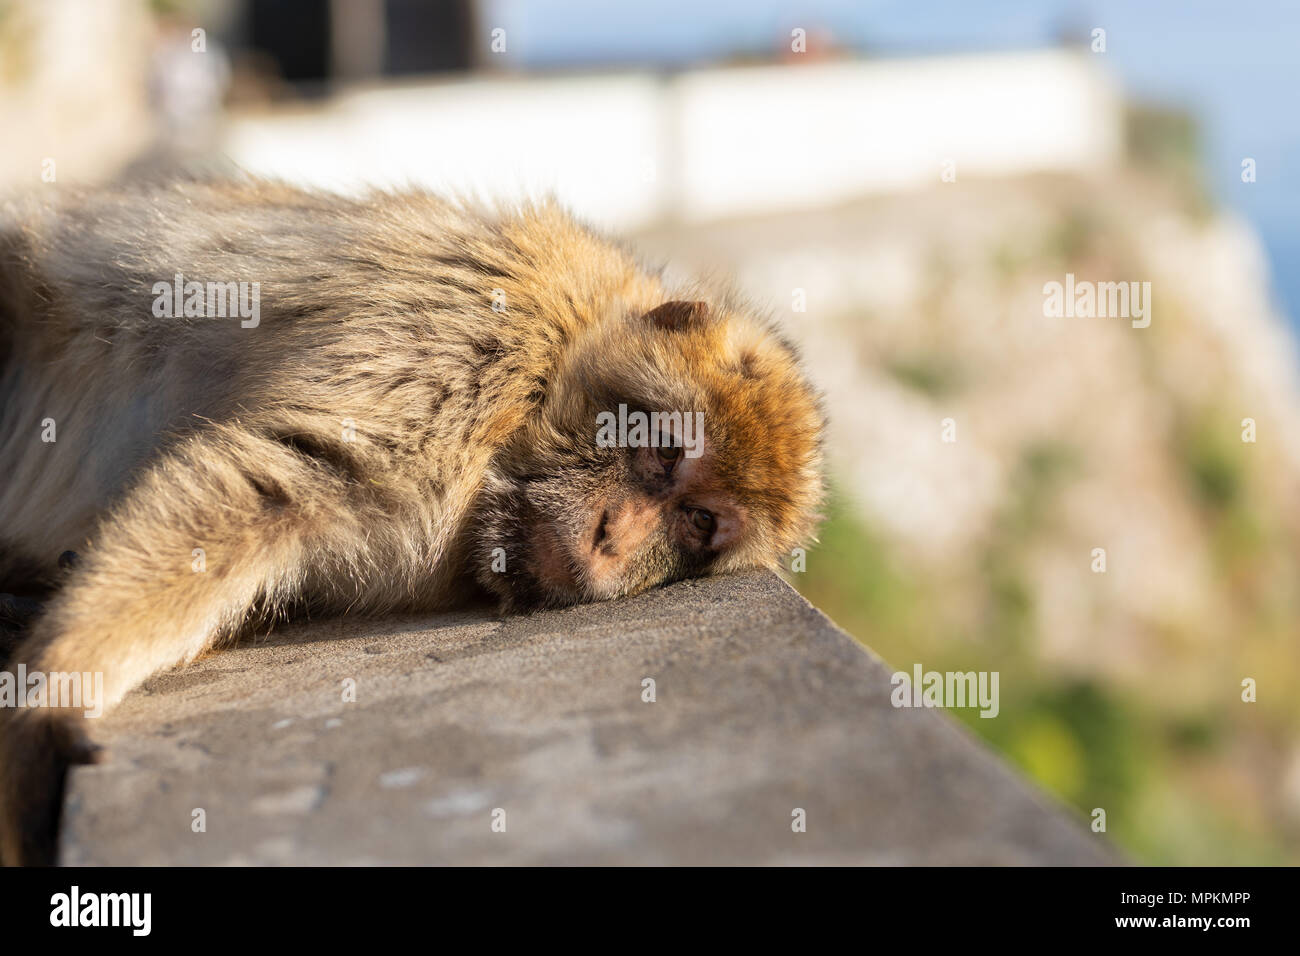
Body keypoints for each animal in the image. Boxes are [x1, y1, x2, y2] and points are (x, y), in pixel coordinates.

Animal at [0, 177, 825, 865]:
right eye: (665, 449)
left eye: (698, 524)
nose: (612, 538)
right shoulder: (473, 352)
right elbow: (277, 481)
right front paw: (62, 681)